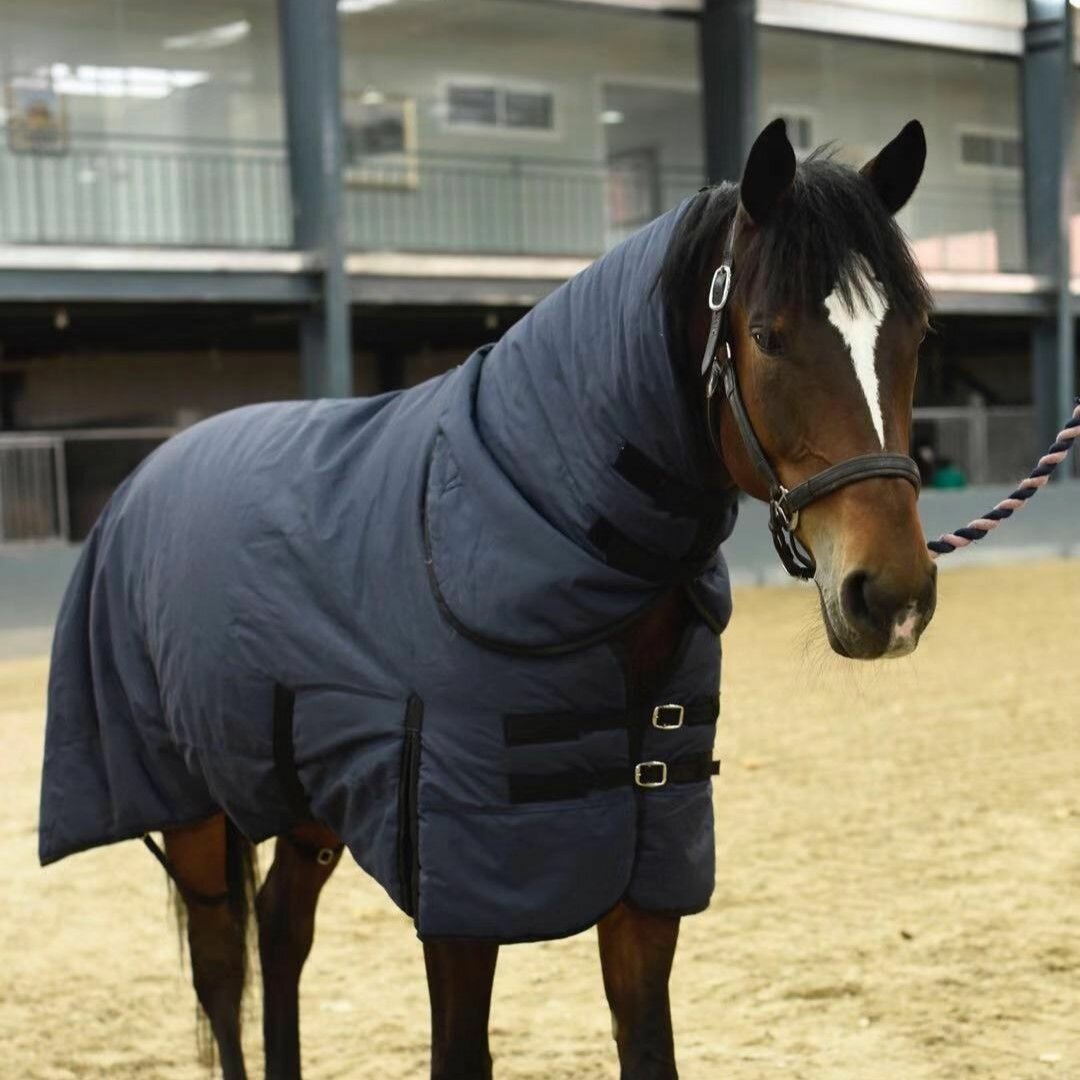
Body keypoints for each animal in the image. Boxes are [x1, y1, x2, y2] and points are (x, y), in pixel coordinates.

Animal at [39, 117, 937, 1079]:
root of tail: (146, 477)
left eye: (917, 332)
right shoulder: (464, 888)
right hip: (191, 805)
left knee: (280, 929)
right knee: (219, 968)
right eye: (767, 336)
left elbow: (647, 1046)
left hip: (305, 802)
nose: (892, 594)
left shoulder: (646, 869)